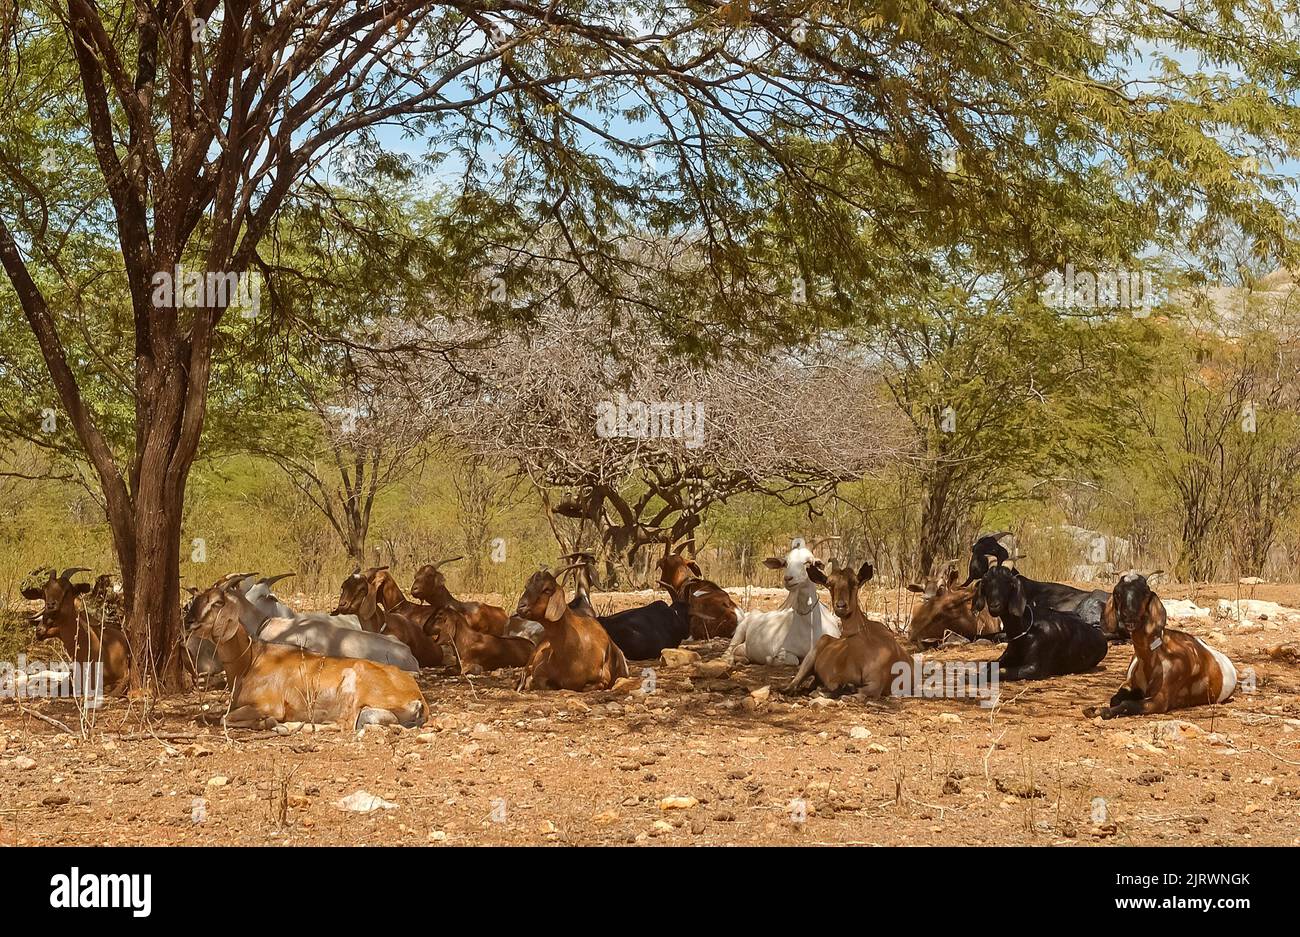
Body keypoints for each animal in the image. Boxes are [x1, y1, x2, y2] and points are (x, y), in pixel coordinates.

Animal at [185, 583, 427, 731]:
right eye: (197, 599)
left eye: (217, 602)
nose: (189, 622)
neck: (250, 661)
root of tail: (417, 697)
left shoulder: (268, 705)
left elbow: (226, 718)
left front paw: (269, 722)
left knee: (344, 724)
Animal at [785, 561, 910, 696]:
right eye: (829, 584)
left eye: (855, 582)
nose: (841, 606)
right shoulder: (835, 677)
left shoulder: (877, 682)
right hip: (813, 653)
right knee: (795, 683)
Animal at [973, 566, 1108, 680]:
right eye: (986, 584)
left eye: (1008, 583)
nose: (995, 606)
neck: (1026, 628)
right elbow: (989, 666)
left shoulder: (1034, 668)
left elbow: (999, 672)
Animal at [1089, 571, 1236, 718]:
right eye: (1117, 592)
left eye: (1145, 592)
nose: (1129, 616)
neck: (1153, 658)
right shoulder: (1129, 684)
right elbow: (1115, 699)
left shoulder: (1162, 699)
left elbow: (1128, 704)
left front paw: (1097, 710)